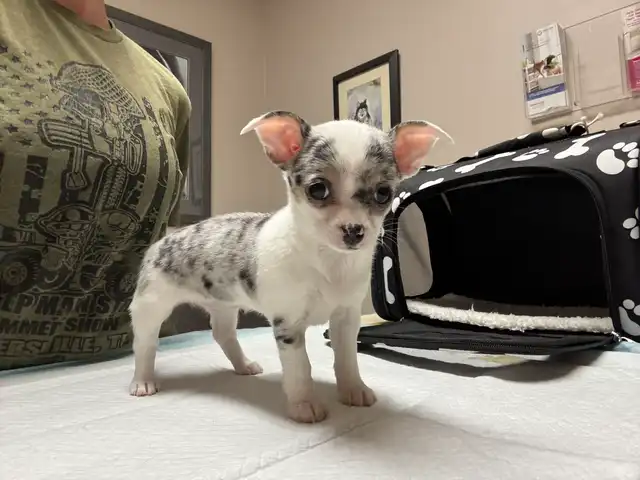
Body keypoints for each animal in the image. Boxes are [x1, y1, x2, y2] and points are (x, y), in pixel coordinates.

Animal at [128, 110, 447, 423]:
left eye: (383, 193)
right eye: (318, 189)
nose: (354, 230)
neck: (327, 261)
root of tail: (163, 240)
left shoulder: (346, 318)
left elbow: (347, 359)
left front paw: (353, 389)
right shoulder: (289, 324)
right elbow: (300, 367)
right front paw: (304, 404)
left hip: (224, 305)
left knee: (223, 334)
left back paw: (243, 365)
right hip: (151, 305)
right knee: (145, 344)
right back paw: (142, 381)